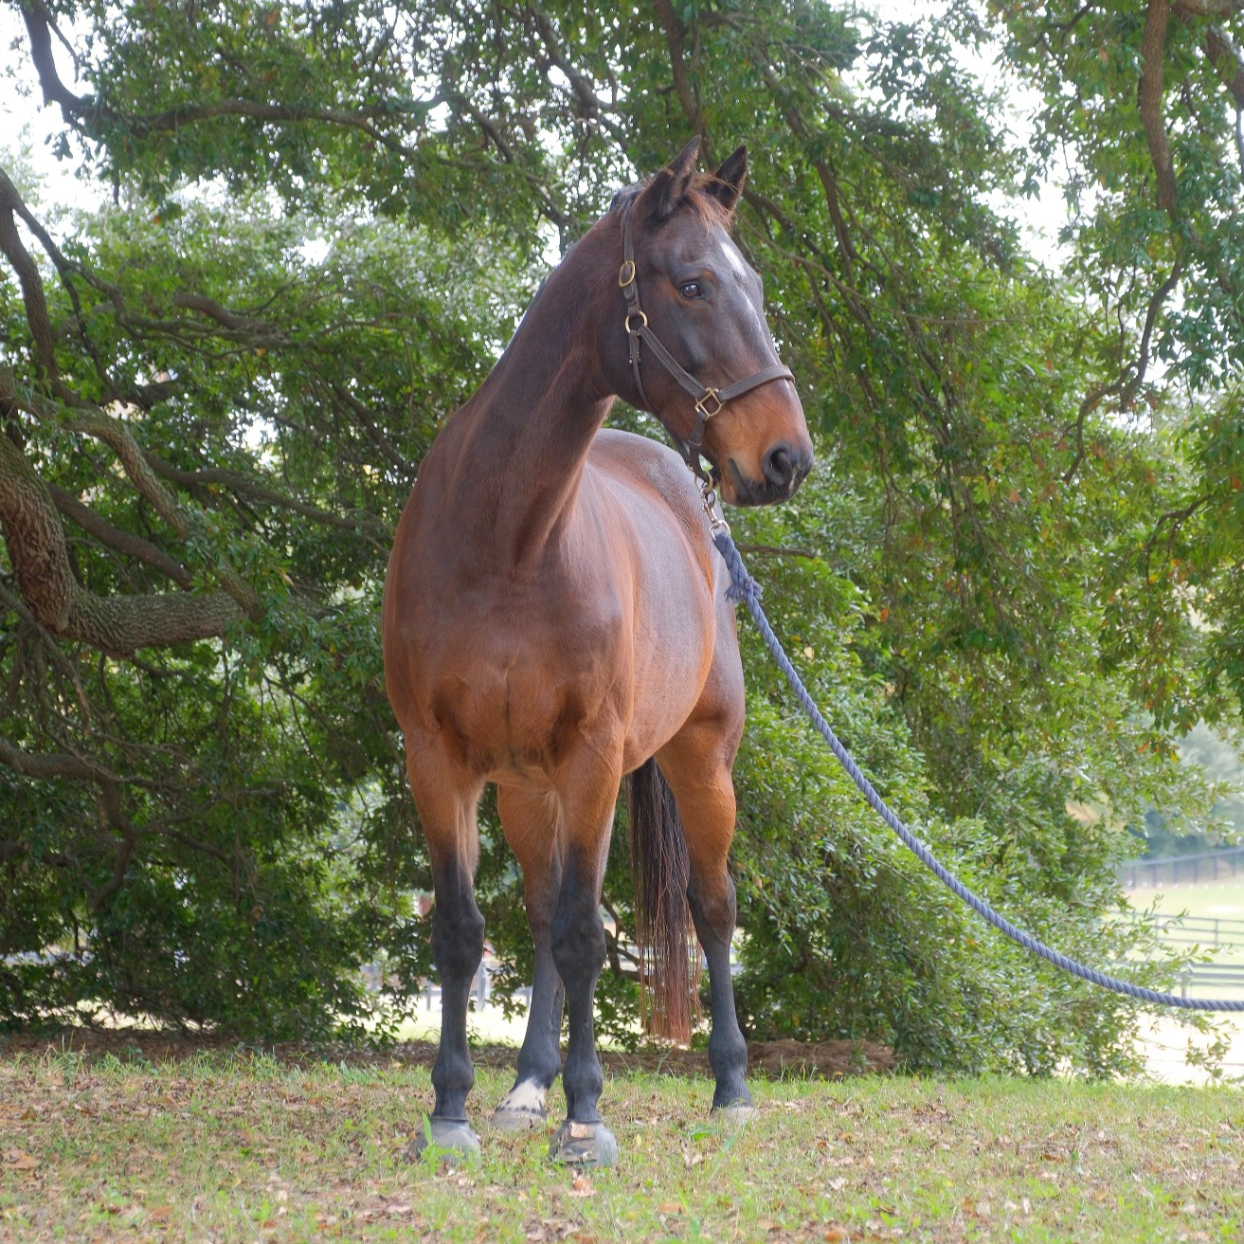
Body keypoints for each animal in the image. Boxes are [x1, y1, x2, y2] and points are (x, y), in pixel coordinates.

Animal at [382, 139, 813, 1167]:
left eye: (756, 285)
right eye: (692, 282)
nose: (788, 459)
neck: (507, 539)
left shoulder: (592, 756)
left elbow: (588, 936)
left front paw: (587, 1119)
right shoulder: (439, 759)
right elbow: (464, 933)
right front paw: (452, 1112)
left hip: (693, 763)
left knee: (709, 908)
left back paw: (729, 1087)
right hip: (532, 788)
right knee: (544, 915)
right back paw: (527, 1084)